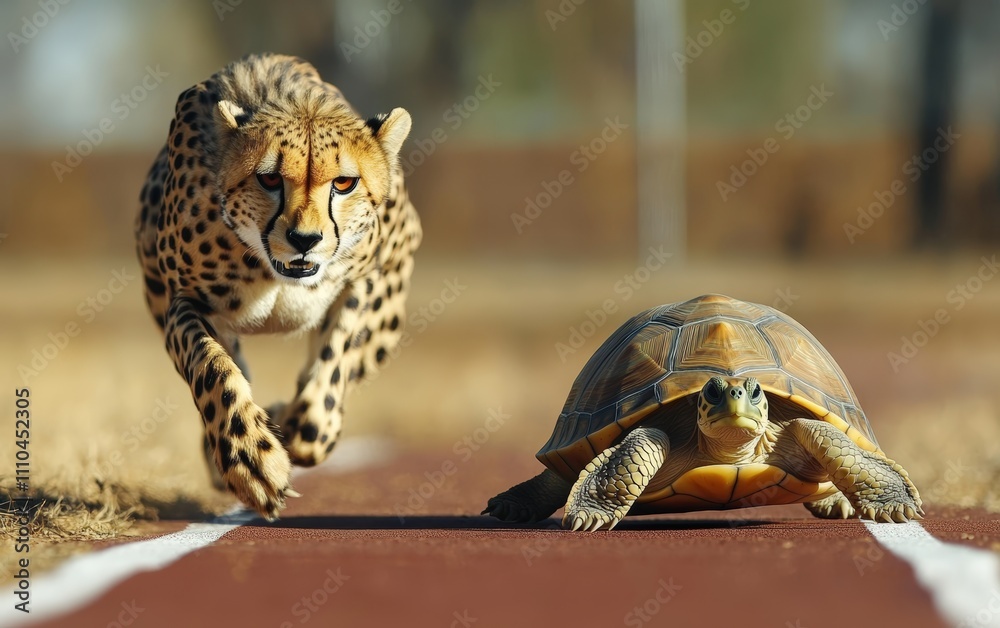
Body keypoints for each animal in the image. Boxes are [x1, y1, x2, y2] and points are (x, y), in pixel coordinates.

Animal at [135, 53, 421, 519]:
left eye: (344, 183)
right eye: (268, 179)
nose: (305, 239)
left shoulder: (367, 279)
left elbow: (334, 360)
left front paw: (300, 429)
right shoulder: (183, 302)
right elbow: (212, 367)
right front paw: (251, 459)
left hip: (387, 322)